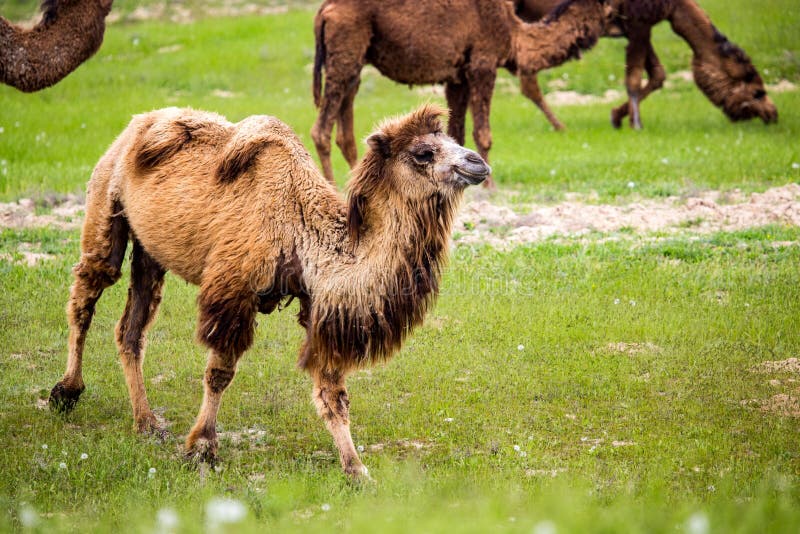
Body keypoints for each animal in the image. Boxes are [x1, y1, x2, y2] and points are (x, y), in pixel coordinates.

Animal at [48, 104, 490, 479]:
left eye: (453, 140)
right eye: (424, 153)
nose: (479, 163)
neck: (302, 227)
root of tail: (136, 125)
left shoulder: (317, 303)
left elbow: (333, 390)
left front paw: (356, 469)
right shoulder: (233, 289)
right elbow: (219, 373)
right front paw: (202, 449)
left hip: (150, 251)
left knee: (131, 329)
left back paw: (147, 423)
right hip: (106, 204)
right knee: (88, 291)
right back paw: (66, 392)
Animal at [311, 0, 614, 187]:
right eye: (610, 11)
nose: (618, 26)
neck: (514, 35)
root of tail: (324, 11)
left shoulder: (457, 78)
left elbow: (456, 132)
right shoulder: (483, 64)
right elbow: (483, 133)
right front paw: (490, 185)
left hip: (355, 59)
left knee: (345, 128)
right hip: (345, 51)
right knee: (321, 129)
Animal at [515, 0, 778, 129]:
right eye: (757, 91)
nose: (773, 114)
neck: (675, 7)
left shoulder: (637, 27)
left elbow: (657, 75)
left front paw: (620, 117)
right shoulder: (638, 21)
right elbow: (634, 78)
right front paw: (636, 124)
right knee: (528, 81)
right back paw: (559, 125)